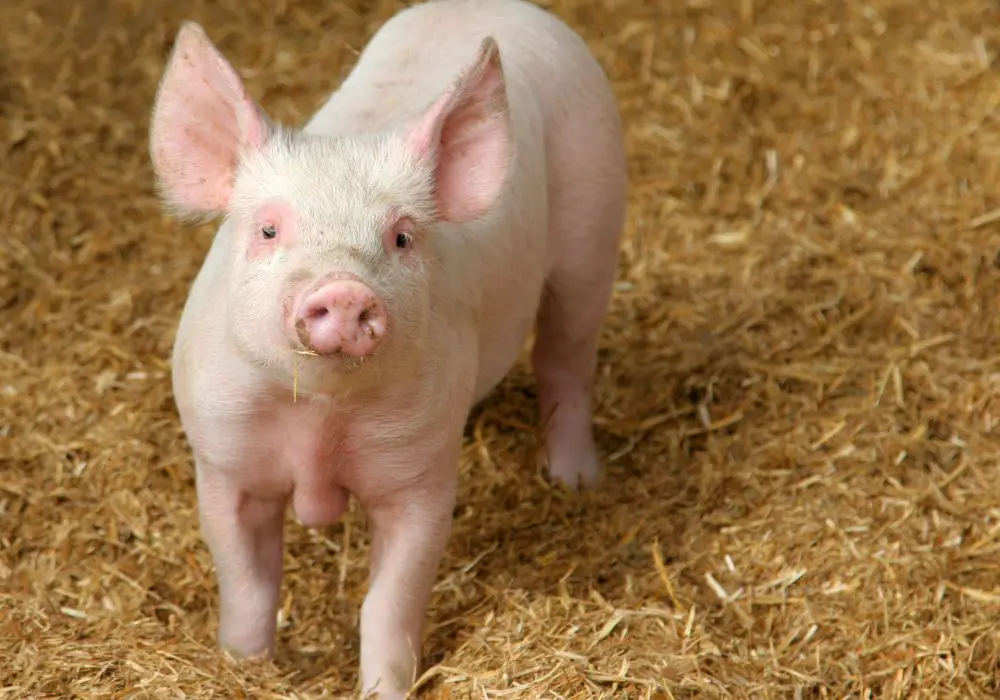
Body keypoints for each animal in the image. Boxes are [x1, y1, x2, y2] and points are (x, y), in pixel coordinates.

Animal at [149, 0, 626, 696]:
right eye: (268, 229)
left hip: (594, 230)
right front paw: (243, 666)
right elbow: (247, 585)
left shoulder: (419, 475)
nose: (345, 290)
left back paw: (574, 482)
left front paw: (384, 687)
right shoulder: (224, 463)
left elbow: (388, 601)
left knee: (566, 360)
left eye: (401, 237)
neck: (321, 421)